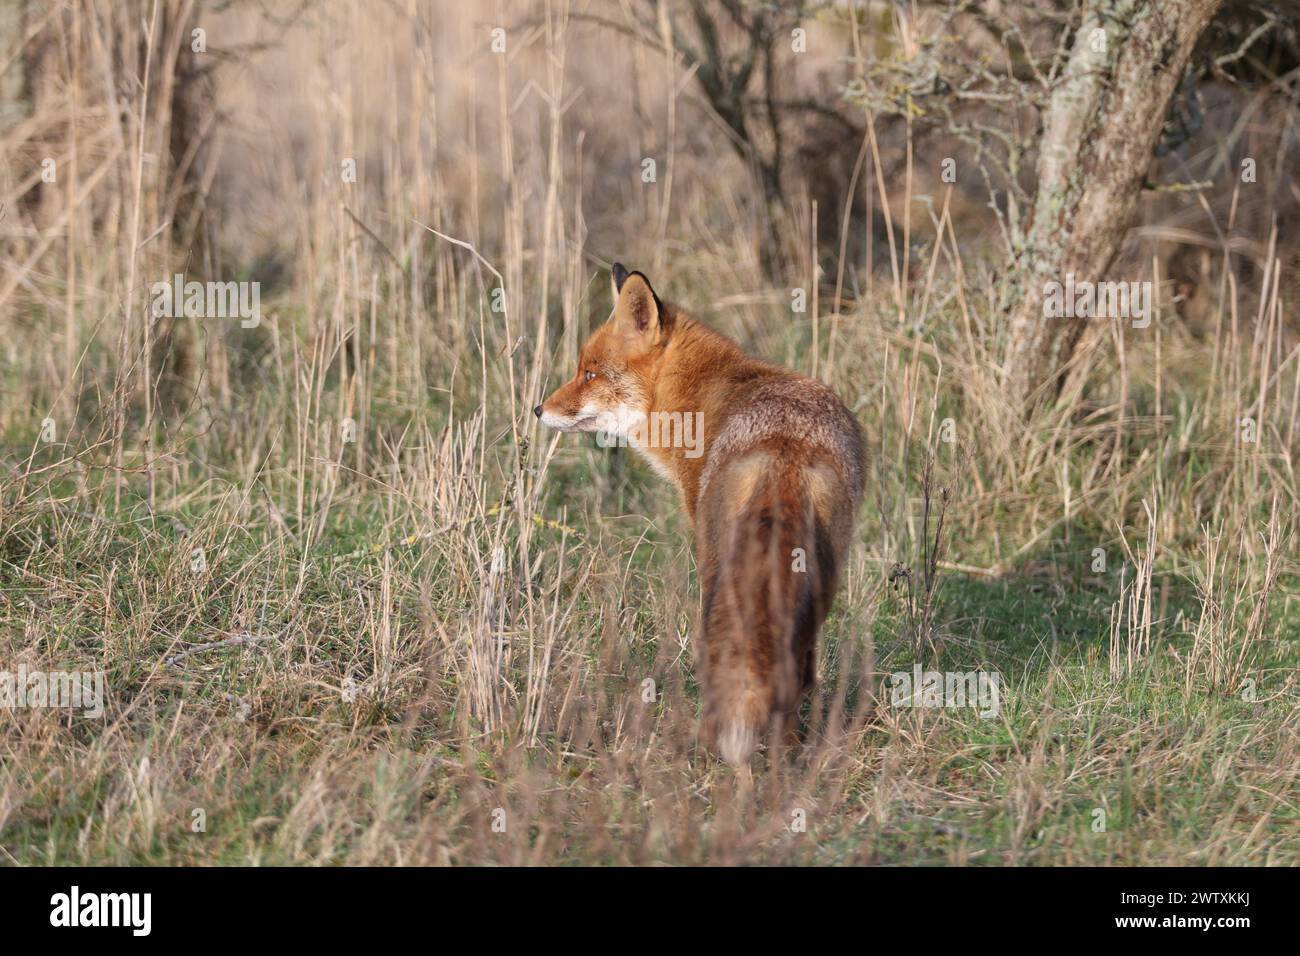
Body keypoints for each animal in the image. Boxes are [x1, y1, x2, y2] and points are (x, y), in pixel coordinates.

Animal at [535, 264, 865, 765]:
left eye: (590, 373)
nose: (538, 409)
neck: (690, 394)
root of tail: (785, 448)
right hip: (824, 579)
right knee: (797, 672)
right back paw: (787, 758)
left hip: (716, 566)